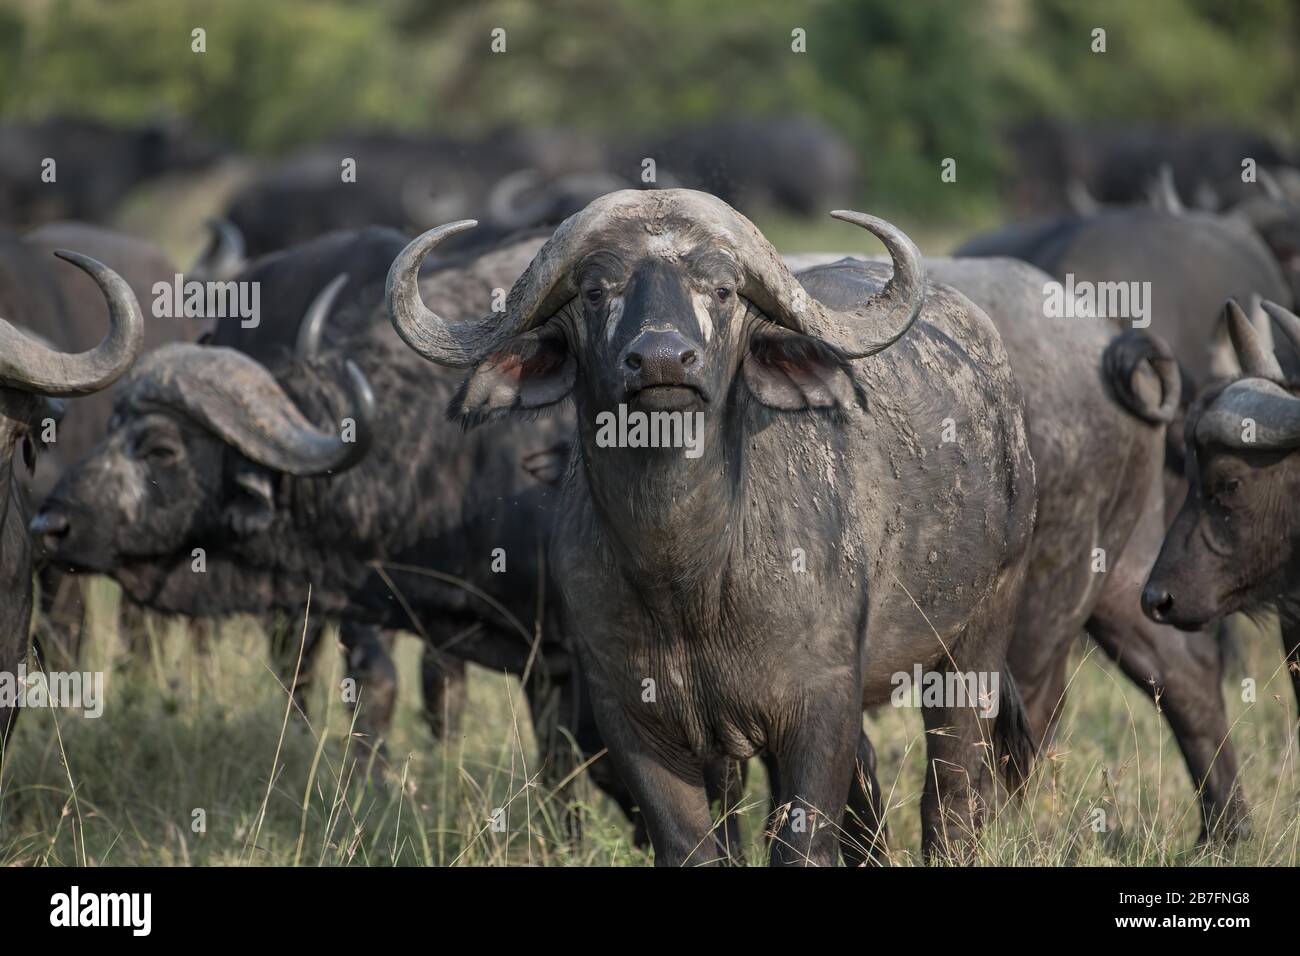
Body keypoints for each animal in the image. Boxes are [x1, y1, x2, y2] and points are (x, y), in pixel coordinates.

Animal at [386, 189, 1039, 865]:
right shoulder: (634, 720)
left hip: (978, 639)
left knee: (952, 793)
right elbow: (694, 845)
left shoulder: (820, 707)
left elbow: (803, 842)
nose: (662, 360)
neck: (688, 577)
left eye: (722, 289)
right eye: (596, 291)